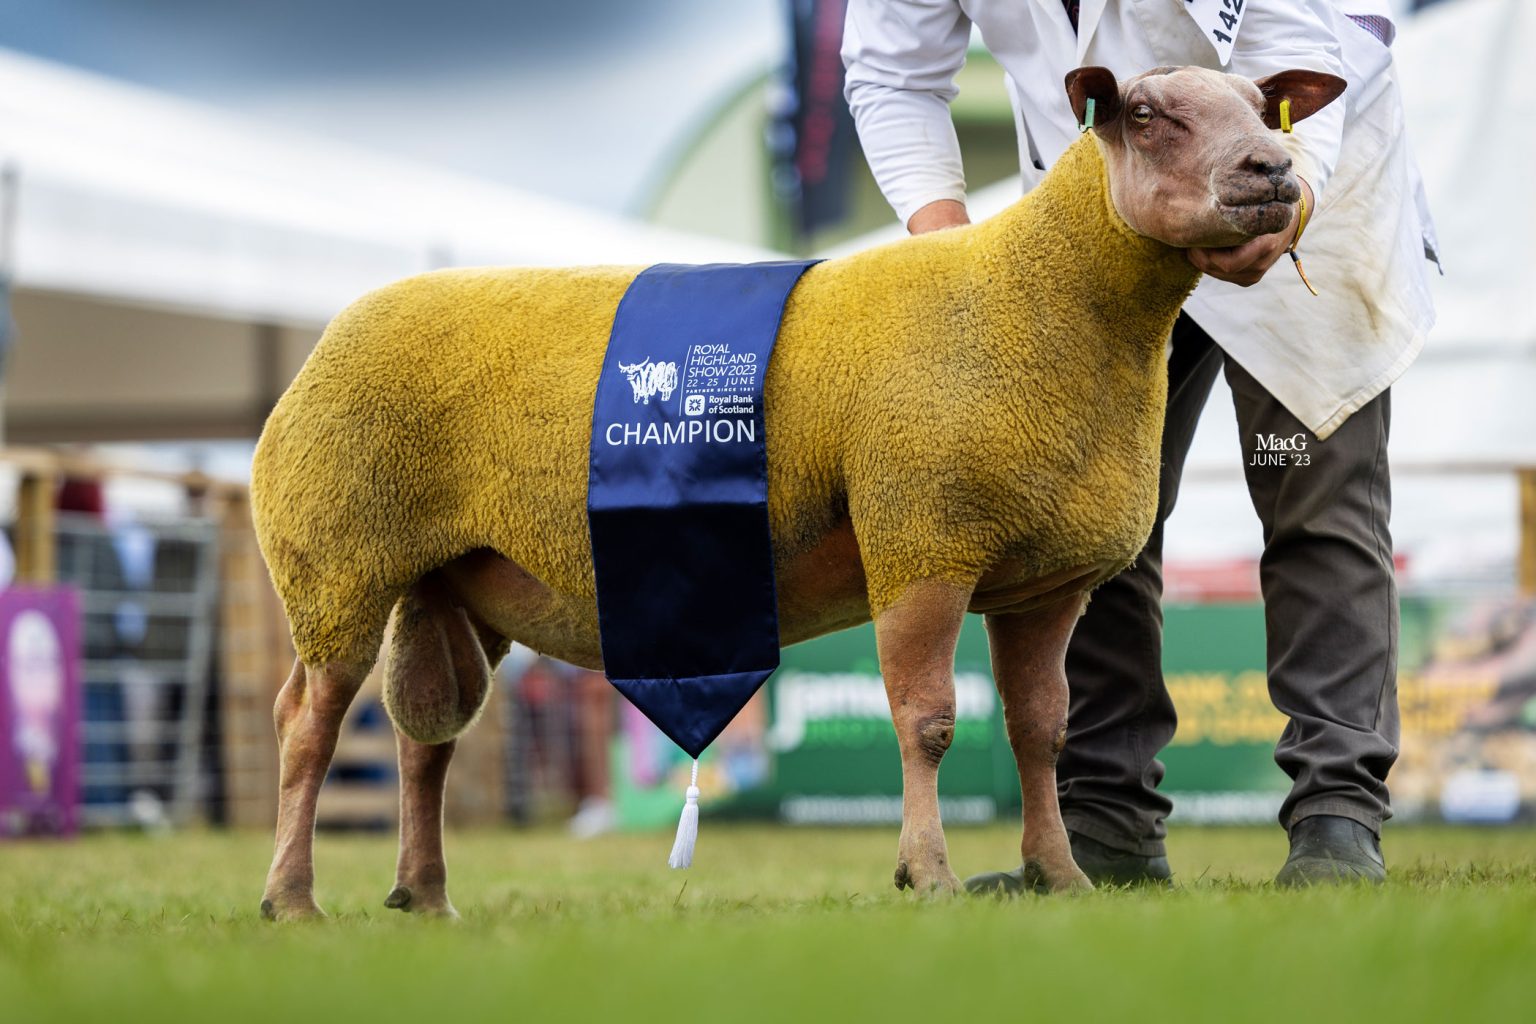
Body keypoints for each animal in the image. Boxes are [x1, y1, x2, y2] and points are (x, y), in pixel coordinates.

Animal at [252, 65, 1344, 919]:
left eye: (1264, 107)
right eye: (1149, 114)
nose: (1273, 173)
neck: (1035, 298)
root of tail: (336, 332)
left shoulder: (1043, 583)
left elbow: (1041, 731)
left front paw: (1060, 877)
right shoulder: (920, 538)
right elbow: (929, 721)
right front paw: (928, 875)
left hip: (449, 583)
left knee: (426, 739)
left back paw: (425, 896)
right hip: (335, 565)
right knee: (307, 724)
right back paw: (292, 900)